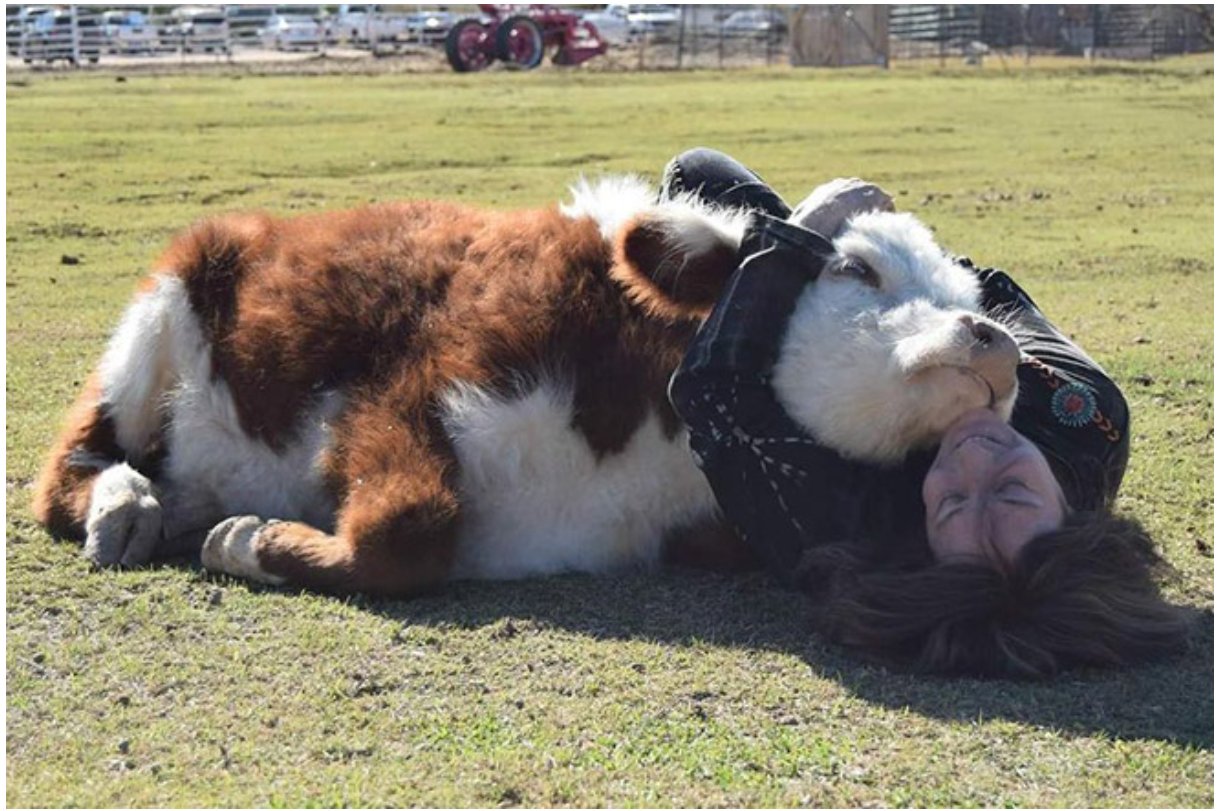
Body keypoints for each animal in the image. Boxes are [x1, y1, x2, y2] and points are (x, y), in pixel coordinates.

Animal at [32, 175, 1020, 596]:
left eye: (969, 295)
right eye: (858, 269)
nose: (998, 343)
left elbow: (409, 539)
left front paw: (247, 536)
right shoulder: (408, 389)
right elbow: (408, 528)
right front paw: (249, 540)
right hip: (160, 315)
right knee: (70, 467)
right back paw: (125, 506)